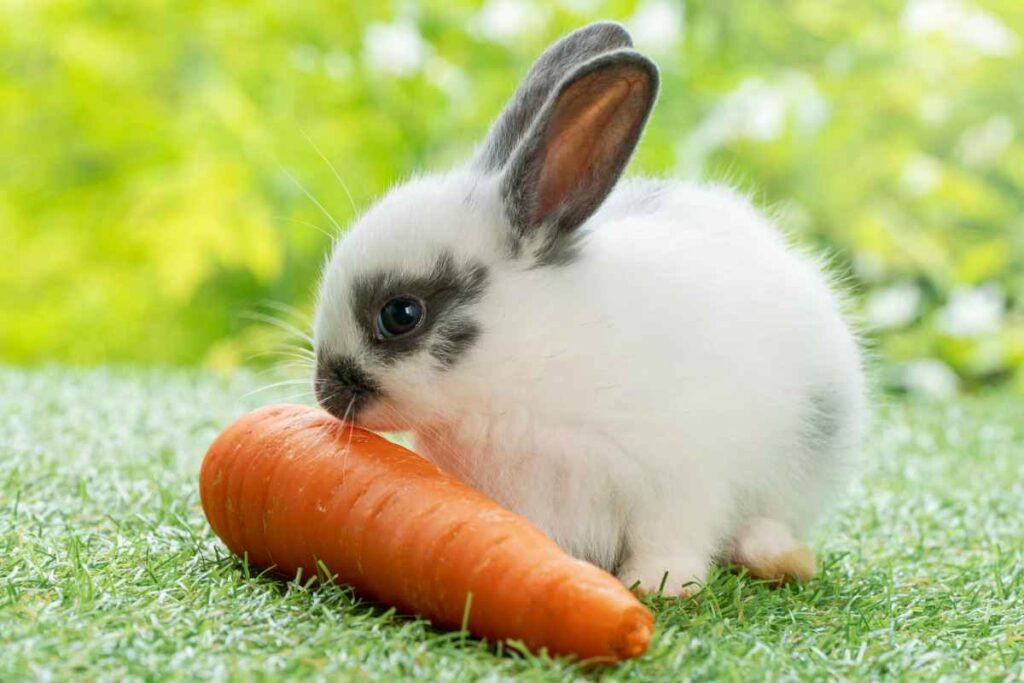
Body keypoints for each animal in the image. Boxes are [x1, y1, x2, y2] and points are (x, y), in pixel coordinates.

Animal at [312, 21, 866, 596]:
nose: (326, 395)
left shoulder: (680, 480)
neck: (527, 361)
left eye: (400, 314)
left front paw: (657, 586)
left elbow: (671, 538)